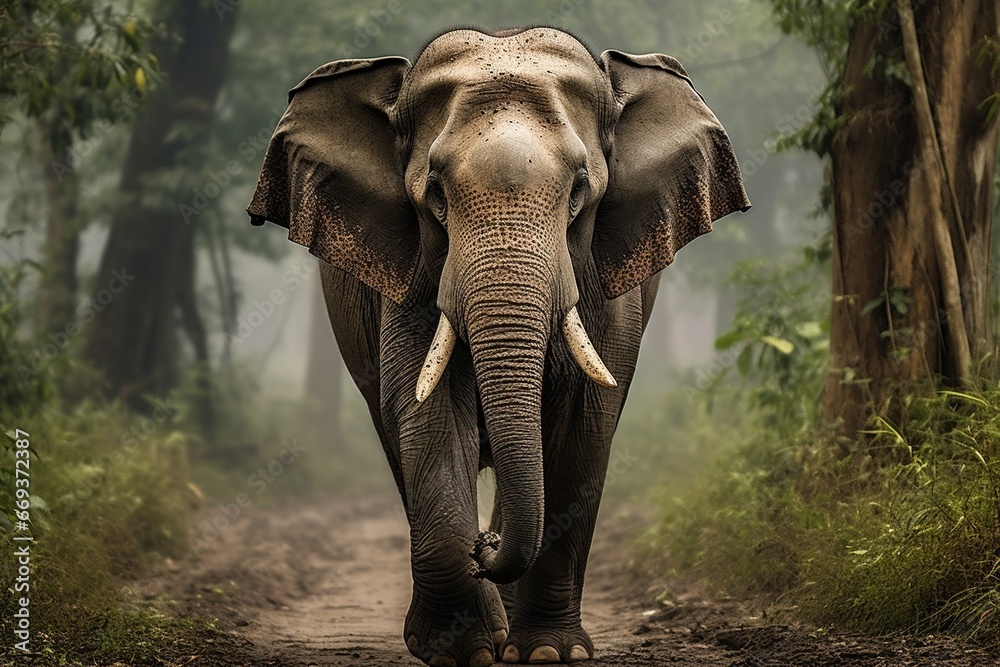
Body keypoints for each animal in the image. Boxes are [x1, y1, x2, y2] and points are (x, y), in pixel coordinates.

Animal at [247, 27, 748, 667]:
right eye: (435, 193)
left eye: (580, 189)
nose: (485, 547)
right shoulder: (414, 271)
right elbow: (427, 413)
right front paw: (461, 651)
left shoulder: (606, 286)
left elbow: (585, 424)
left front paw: (550, 653)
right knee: (393, 436)